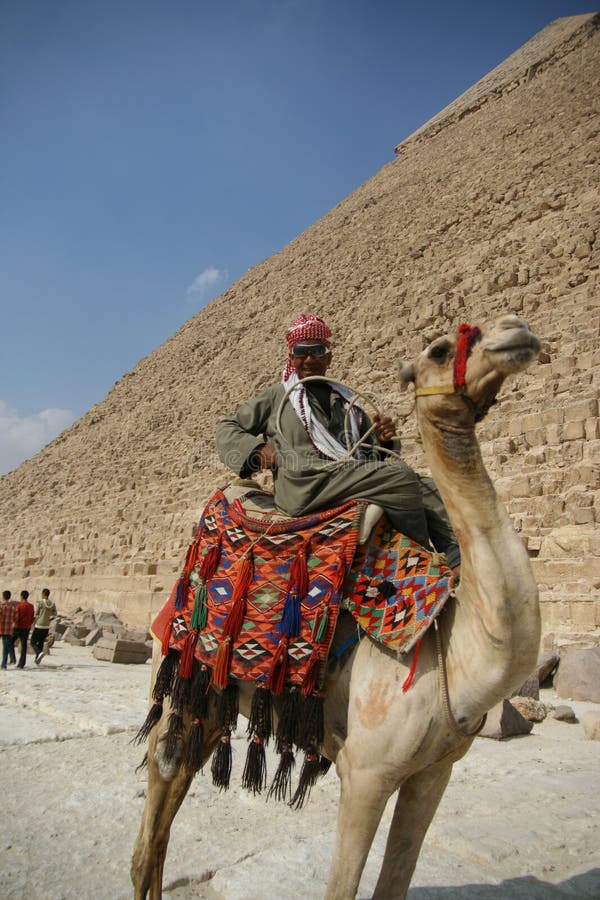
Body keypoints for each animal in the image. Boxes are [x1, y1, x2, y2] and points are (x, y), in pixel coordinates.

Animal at [131, 313, 541, 899]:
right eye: (441, 349)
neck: (455, 648)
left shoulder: (434, 773)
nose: (517, 330)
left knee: (170, 808)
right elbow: (342, 886)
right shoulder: (366, 774)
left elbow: (395, 880)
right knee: (154, 807)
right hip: (173, 681)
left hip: (209, 699)